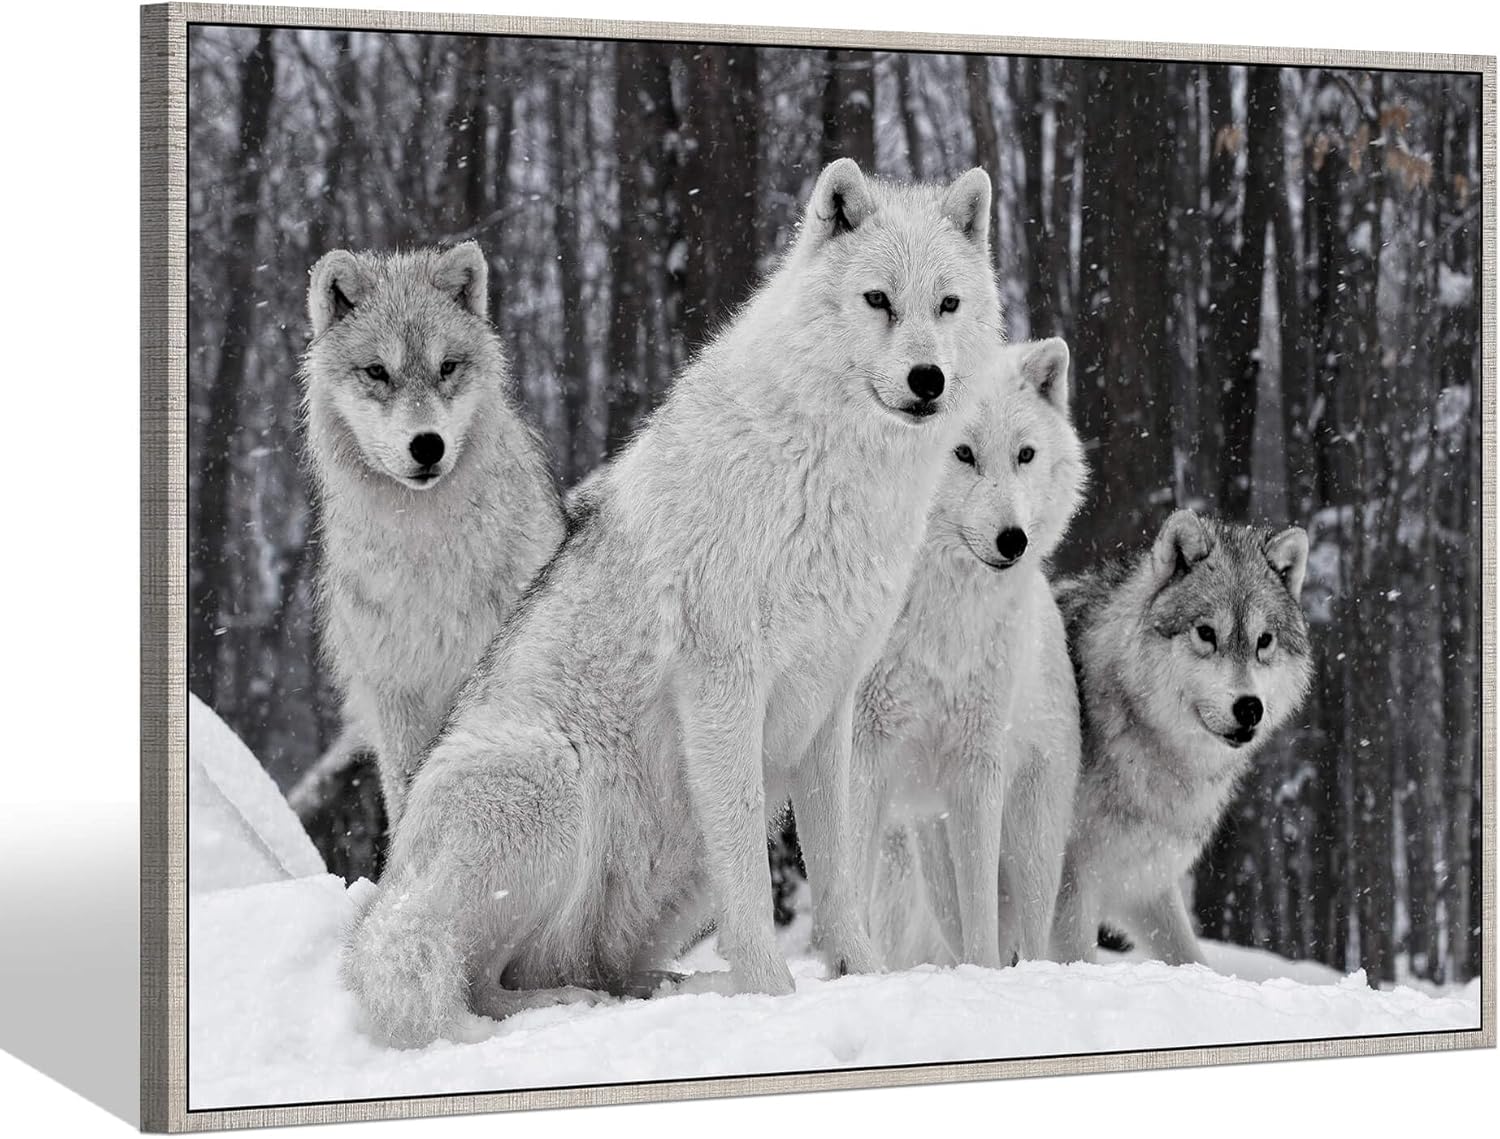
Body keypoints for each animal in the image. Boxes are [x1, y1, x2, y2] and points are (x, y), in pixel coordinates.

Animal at [342, 159, 1004, 1046]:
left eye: (947, 304)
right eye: (878, 300)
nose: (928, 380)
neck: (831, 472)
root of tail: (385, 898)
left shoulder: (829, 704)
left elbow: (837, 875)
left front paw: (862, 976)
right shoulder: (723, 688)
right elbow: (752, 878)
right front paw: (771, 997)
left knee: (590, 967)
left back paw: (663, 989)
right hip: (549, 778)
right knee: (476, 982)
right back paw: (577, 1008)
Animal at [857, 338, 1086, 971]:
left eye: (1025, 454)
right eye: (961, 452)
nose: (1014, 540)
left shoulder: (978, 766)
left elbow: (983, 916)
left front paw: (981, 980)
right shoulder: (861, 755)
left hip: (1031, 839)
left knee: (1029, 934)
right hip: (927, 851)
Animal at [1050, 510, 1313, 966]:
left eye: (1264, 641)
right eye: (1206, 633)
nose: (1249, 708)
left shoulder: (1143, 882)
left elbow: (1191, 957)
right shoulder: (1069, 883)